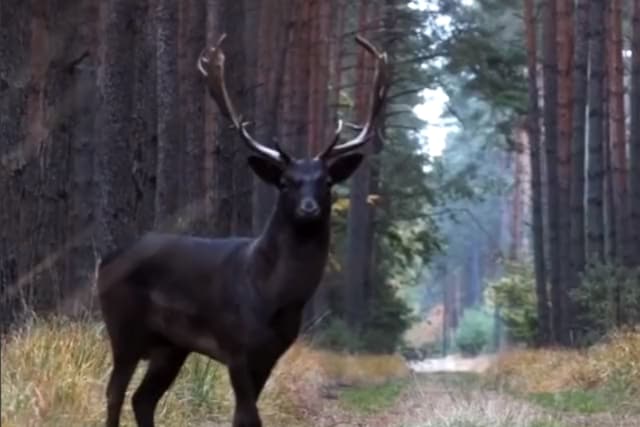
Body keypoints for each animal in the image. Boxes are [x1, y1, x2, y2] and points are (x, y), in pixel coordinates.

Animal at [97, 33, 388, 427]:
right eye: (285, 182)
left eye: (327, 182)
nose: (308, 209)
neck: (270, 293)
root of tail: (105, 261)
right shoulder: (234, 344)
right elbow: (249, 415)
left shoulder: (270, 353)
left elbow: (243, 416)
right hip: (122, 327)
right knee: (114, 392)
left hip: (171, 346)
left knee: (143, 398)